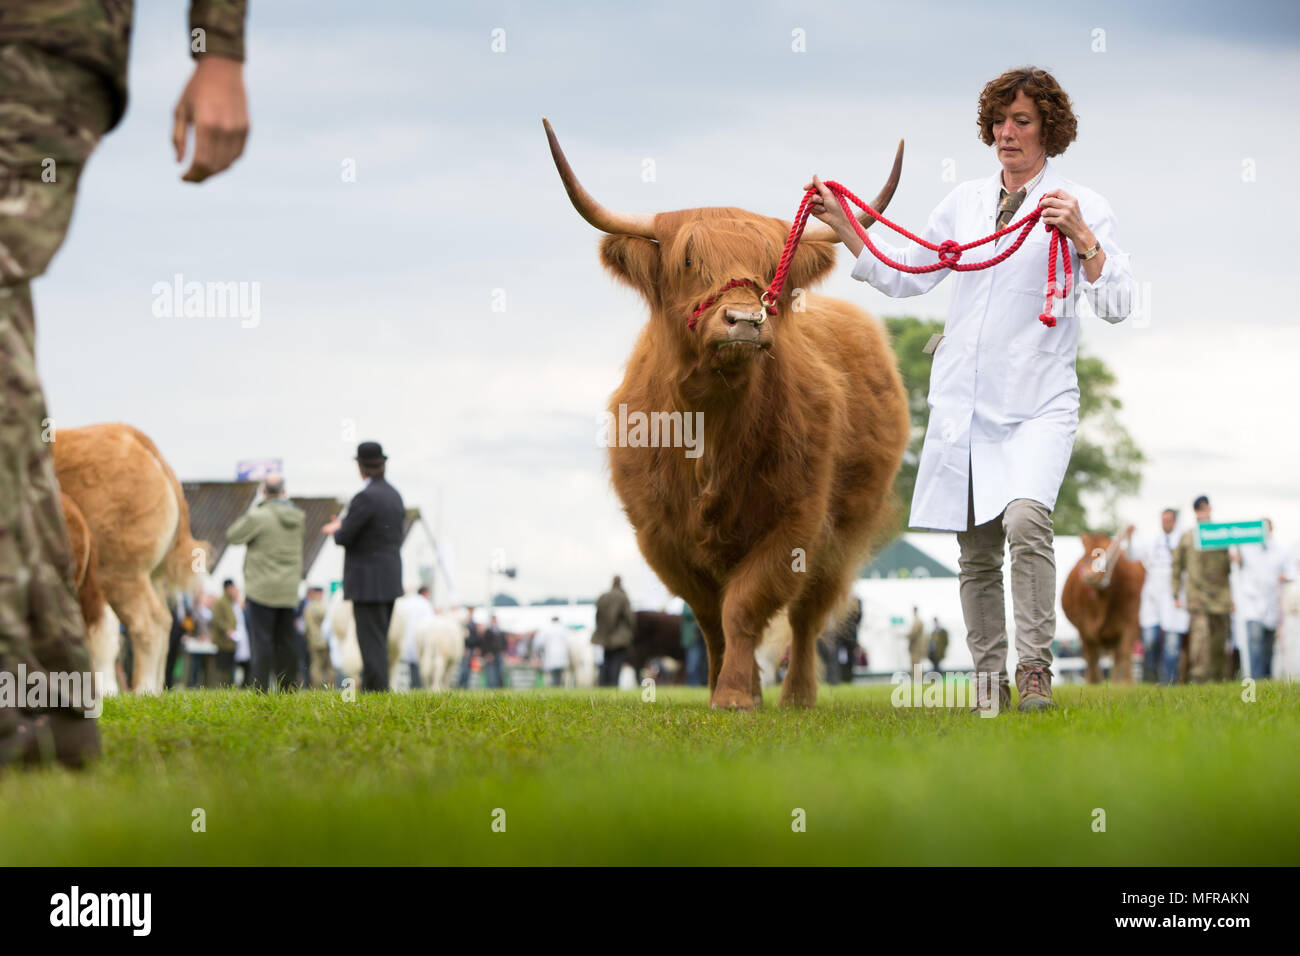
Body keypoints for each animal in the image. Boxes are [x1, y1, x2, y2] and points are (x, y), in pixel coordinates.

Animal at [53, 424, 209, 694]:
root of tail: (131, 434)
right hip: (148, 577)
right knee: (162, 620)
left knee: (146, 624)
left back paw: (141, 689)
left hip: (119, 573)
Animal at [545, 119, 911, 709]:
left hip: (841, 534)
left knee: (807, 618)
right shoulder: (660, 535)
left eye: (771, 267)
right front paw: (729, 688)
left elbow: (744, 605)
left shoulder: (796, 521)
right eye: (688, 262)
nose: (745, 319)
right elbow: (711, 619)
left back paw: (797, 696)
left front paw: (736, 695)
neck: (711, 426)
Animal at [1061, 525, 1146, 683]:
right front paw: (1093, 682)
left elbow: (1124, 654)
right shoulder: (1083, 627)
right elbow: (1091, 658)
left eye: (1107, 553)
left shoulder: (1130, 623)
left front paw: (1126, 683)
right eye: (1085, 552)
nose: (1090, 575)